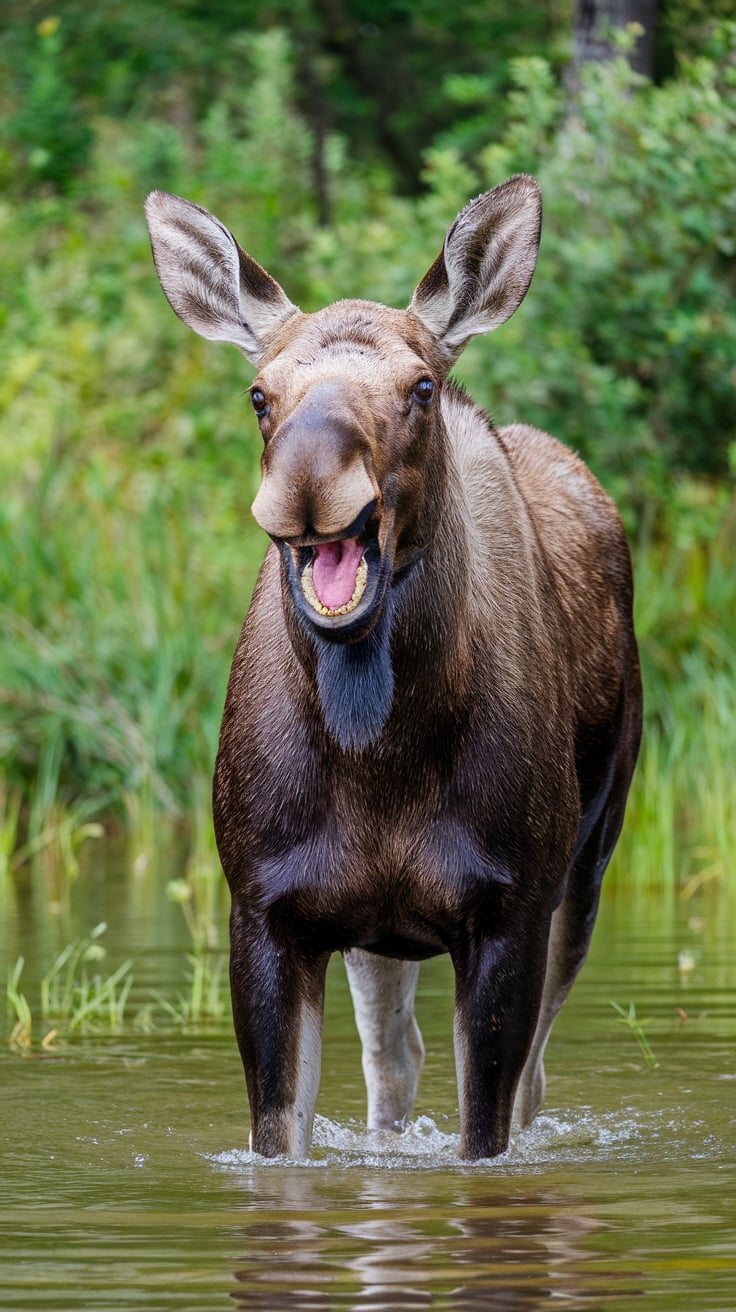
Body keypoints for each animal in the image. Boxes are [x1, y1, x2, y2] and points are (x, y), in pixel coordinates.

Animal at [145, 175, 642, 1161]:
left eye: (420, 386)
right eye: (259, 395)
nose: (306, 485)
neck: (379, 761)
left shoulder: (508, 908)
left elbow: (488, 1125)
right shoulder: (268, 908)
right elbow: (283, 1136)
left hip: (588, 860)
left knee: (530, 1078)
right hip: (378, 932)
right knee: (395, 1061)